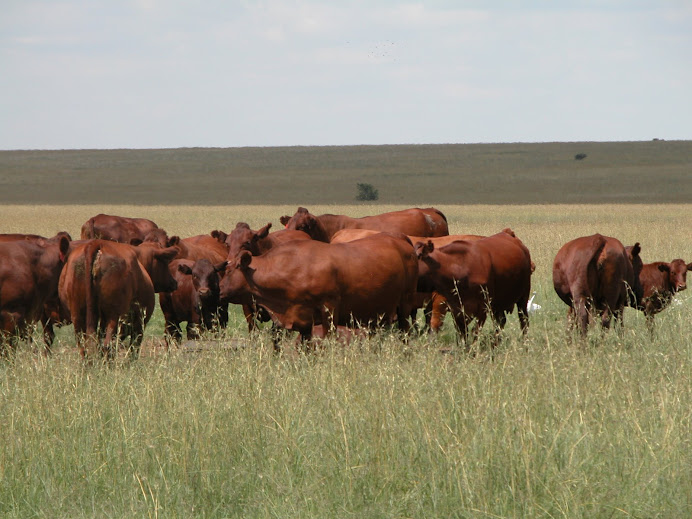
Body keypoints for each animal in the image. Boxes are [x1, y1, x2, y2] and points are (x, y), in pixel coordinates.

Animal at [219, 232, 418, 344]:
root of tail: (400, 239)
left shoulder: (329, 309)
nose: (219, 291)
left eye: (228, 271)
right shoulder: (304, 321)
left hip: (405, 304)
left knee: (406, 333)